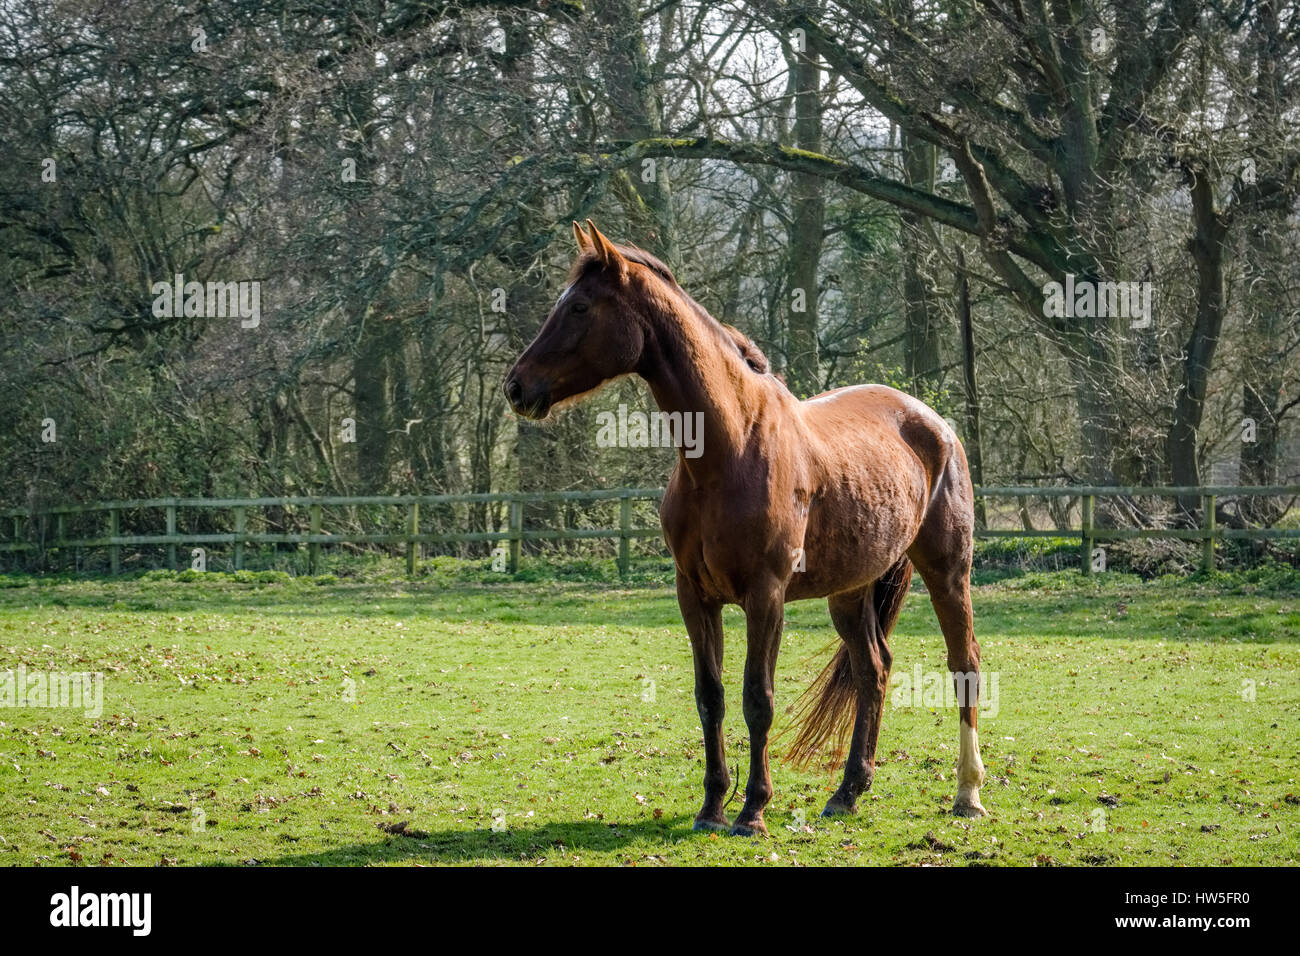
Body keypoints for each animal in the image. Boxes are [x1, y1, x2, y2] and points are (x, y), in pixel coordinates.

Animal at [504, 220, 987, 836]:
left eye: (580, 307)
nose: (517, 387)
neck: (726, 450)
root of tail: (933, 423)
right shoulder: (694, 596)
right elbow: (709, 696)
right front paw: (712, 806)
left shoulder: (766, 596)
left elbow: (759, 699)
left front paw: (753, 809)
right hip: (850, 591)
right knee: (873, 670)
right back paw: (848, 792)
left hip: (948, 571)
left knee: (963, 664)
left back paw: (968, 792)